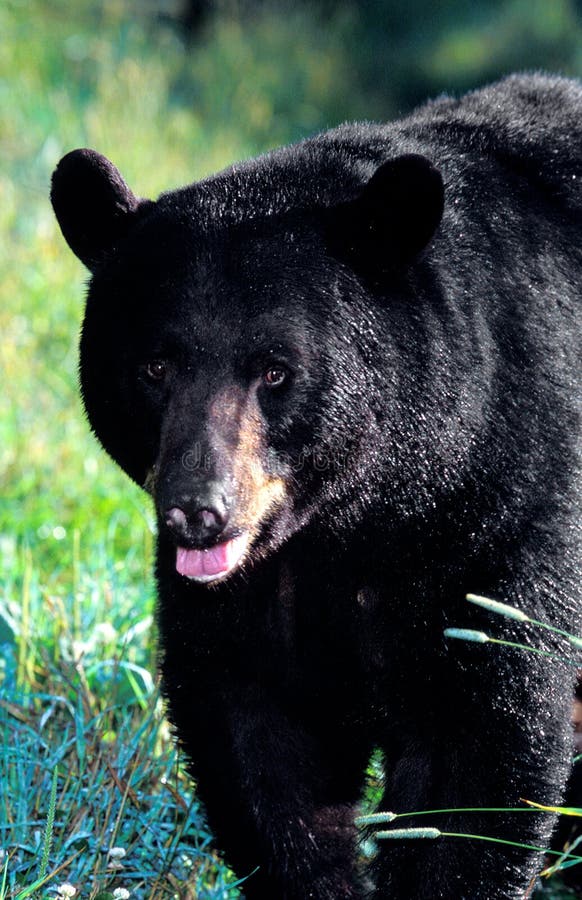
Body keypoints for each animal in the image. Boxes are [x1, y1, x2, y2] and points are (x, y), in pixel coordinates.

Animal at [51, 73, 581, 899]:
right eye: (154, 366)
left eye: (275, 370)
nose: (197, 512)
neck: (351, 524)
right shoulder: (245, 602)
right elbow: (259, 748)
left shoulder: (504, 512)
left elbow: (485, 744)